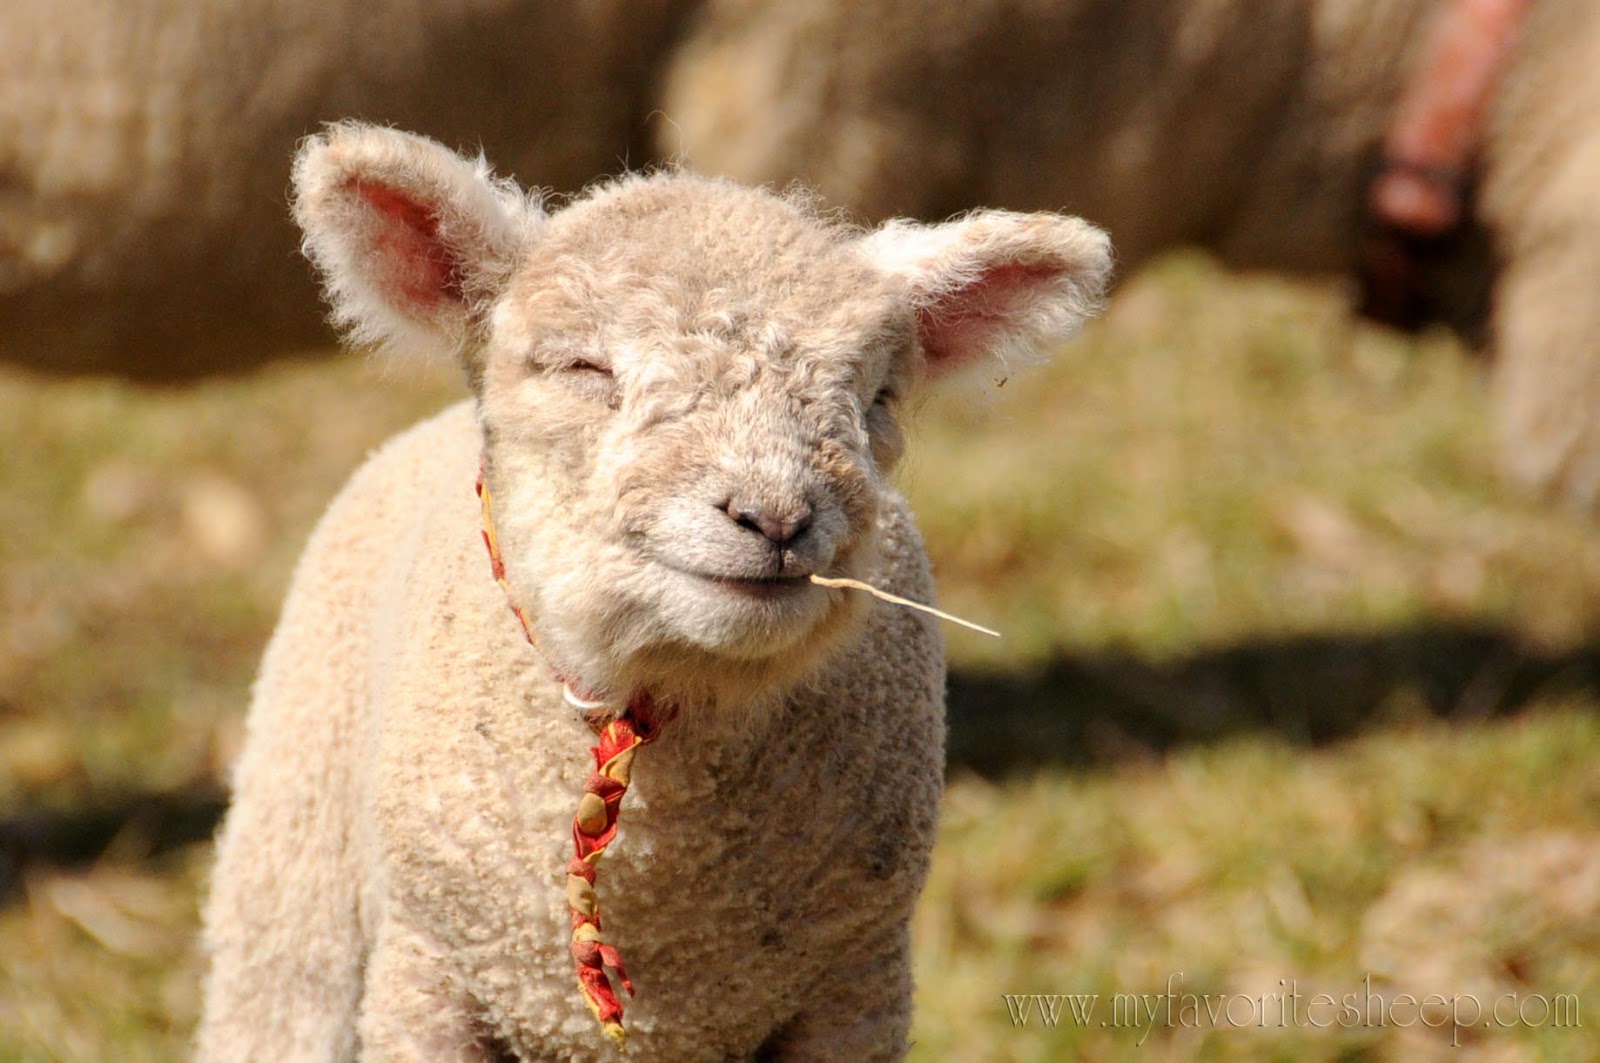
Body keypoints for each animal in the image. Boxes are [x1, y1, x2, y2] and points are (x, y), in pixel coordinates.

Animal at [194, 122, 1111, 1060]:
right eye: (583, 366)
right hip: (296, 883)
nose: (775, 517)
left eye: (878, 395)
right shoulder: (427, 977)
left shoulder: (856, 987)